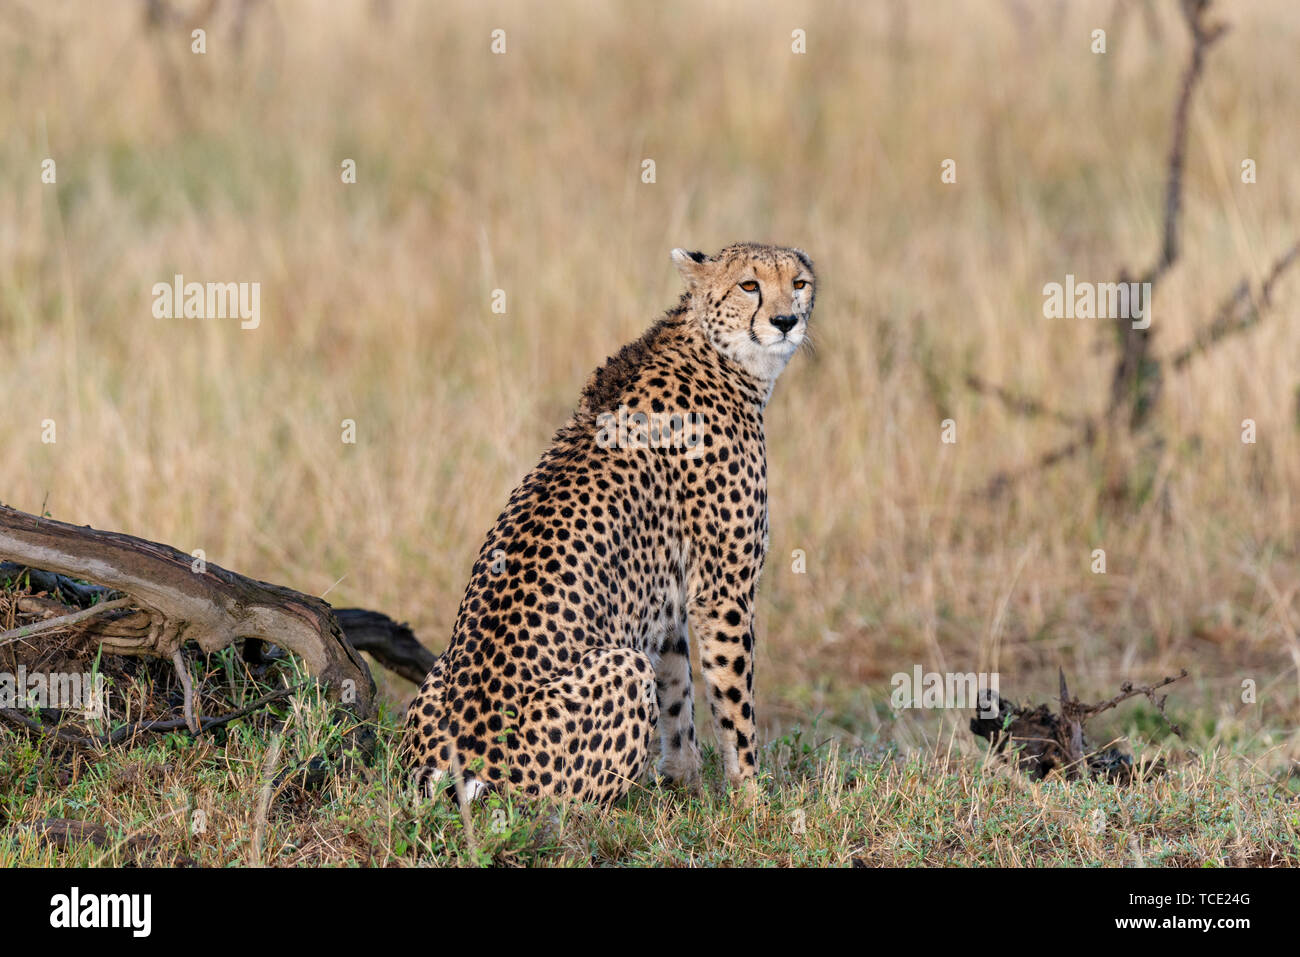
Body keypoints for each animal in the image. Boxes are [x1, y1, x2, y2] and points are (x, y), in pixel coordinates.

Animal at [403, 242, 816, 805]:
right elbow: (734, 705)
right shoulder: (722, 591)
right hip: (620, 669)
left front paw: (684, 782)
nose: (785, 321)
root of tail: (453, 762)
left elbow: (677, 693)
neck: (718, 353)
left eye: (799, 283)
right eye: (749, 285)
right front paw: (751, 798)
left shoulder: (668, 590)